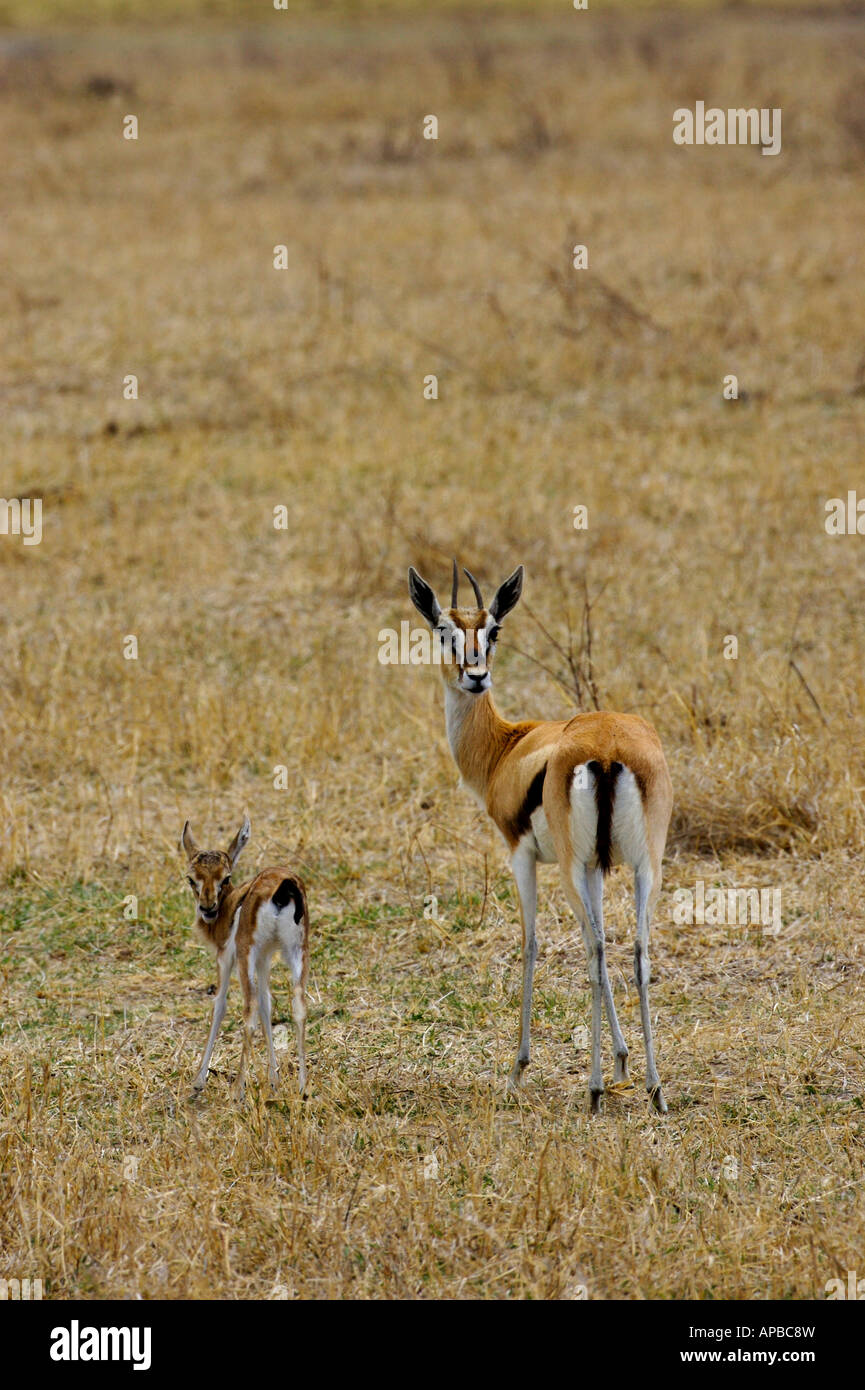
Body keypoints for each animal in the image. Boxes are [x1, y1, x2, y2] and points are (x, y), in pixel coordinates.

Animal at [180, 815, 309, 1099]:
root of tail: (283, 886)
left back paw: (237, 1089)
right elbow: (267, 1004)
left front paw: (198, 1080)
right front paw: (274, 1079)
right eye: (191, 878)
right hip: (297, 953)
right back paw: (304, 1088)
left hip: (244, 957)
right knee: (299, 1008)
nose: (207, 908)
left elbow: (220, 1006)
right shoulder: (265, 958)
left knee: (248, 1013)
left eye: (225, 877)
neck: (232, 904)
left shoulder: (226, 958)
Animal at [407, 561, 673, 1113]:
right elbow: (605, 940)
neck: (506, 747)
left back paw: (593, 1091)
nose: (476, 676)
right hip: (645, 867)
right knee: (634, 951)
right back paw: (655, 1090)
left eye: (493, 631)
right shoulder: (597, 867)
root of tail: (609, 749)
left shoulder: (521, 854)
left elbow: (530, 943)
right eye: (444, 630)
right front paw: (622, 1061)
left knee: (593, 952)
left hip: (571, 869)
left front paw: (518, 1069)